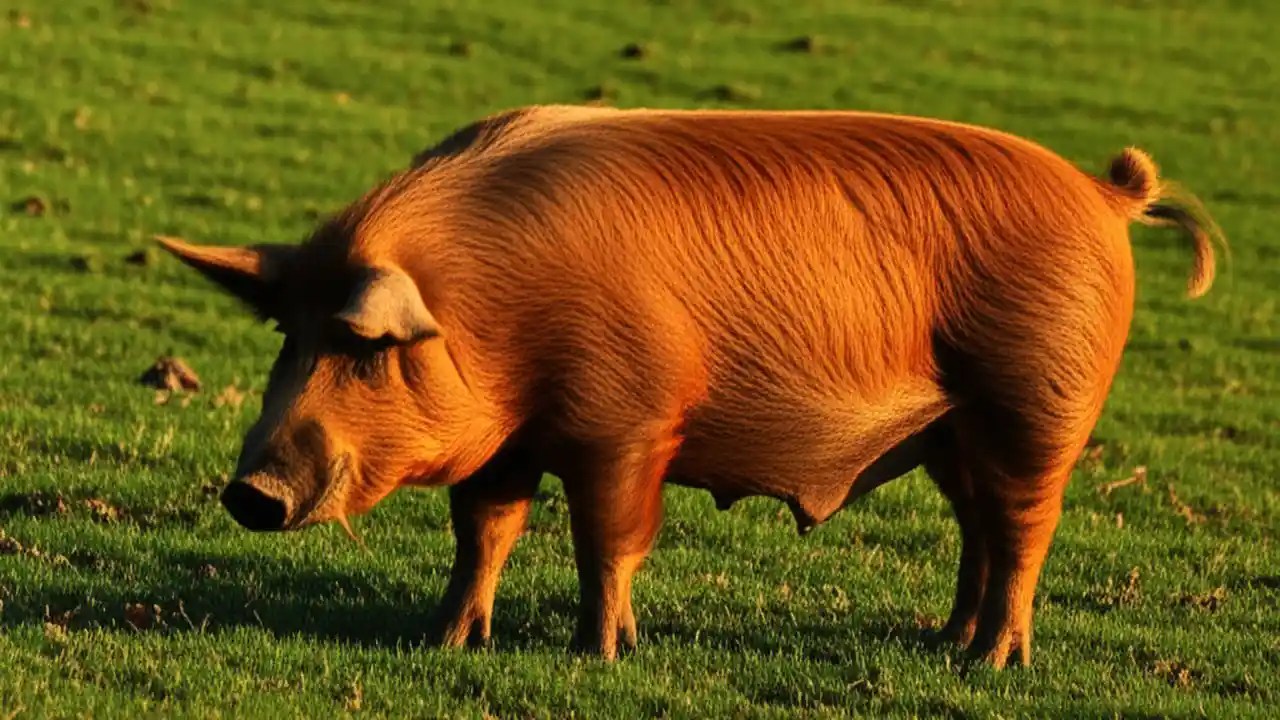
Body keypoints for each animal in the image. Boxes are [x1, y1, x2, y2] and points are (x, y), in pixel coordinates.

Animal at [156, 105, 1221, 668]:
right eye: (288, 338)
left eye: (366, 348)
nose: (250, 491)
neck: (495, 305)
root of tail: (1106, 196)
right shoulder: (506, 442)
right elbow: (484, 533)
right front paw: (448, 640)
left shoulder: (628, 422)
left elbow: (607, 541)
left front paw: (600, 653)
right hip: (949, 433)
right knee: (980, 530)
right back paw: (940, 638)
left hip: (1036, 402)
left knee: (1028, 527)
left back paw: (991, 660)